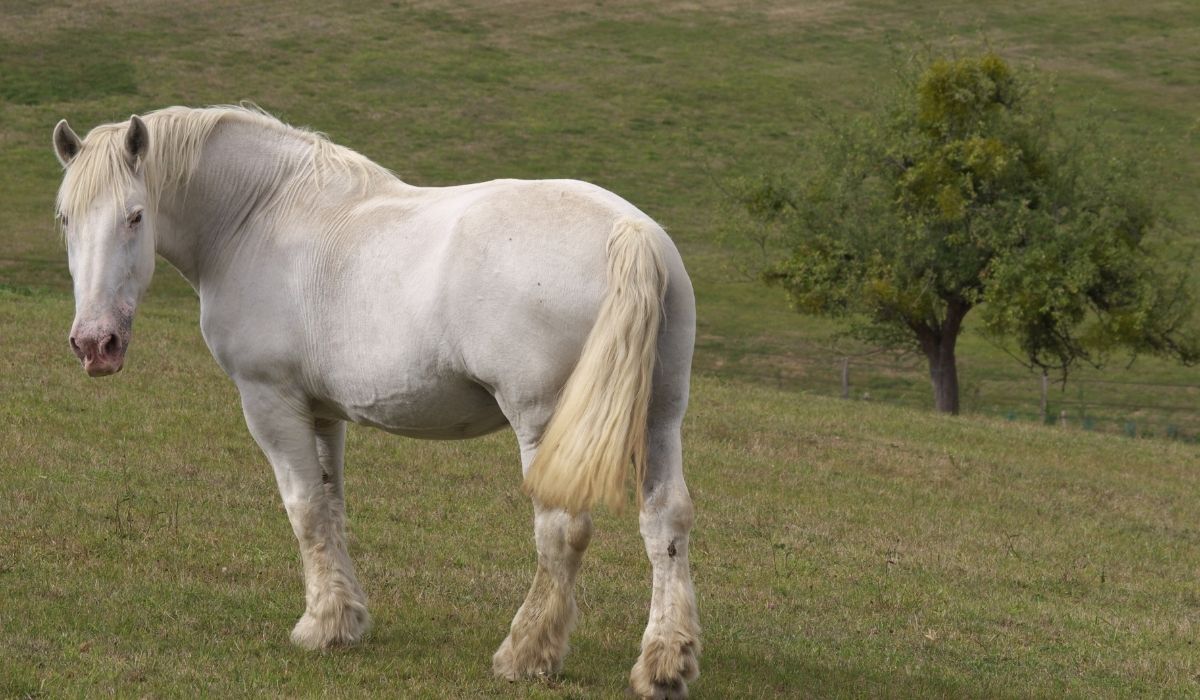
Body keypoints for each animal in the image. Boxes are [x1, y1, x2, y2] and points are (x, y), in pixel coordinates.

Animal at [52, 106, 700, 697]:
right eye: (65, 219)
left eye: (135, 215)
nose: (95, 343)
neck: (262, 217)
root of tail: (628, 231)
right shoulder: (321, 412)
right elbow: (330, 506)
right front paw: (344, 619)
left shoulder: (271, 403)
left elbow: (304, 509)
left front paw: (320, 626)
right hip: (660, 418)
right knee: (664, 518)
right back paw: (665, 663)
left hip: (544, 423)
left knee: (562, 528)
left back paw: (525, 653)